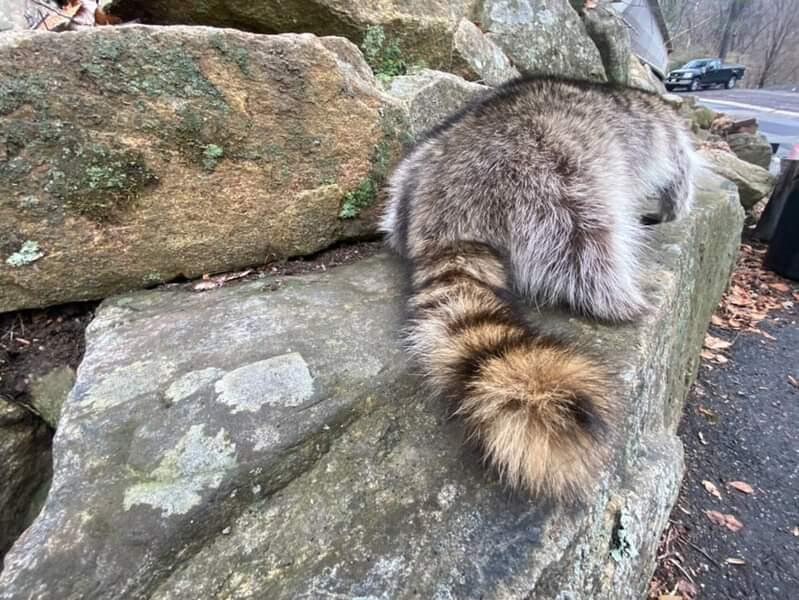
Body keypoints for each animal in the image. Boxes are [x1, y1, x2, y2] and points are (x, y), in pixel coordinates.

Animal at [381, 76, 695, 502]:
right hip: (550, 180)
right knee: (588, 243)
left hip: (410, 176)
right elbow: (681, 170)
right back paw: (618, 299)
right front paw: (674, 207)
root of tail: (445, 219)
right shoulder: (663, 137)